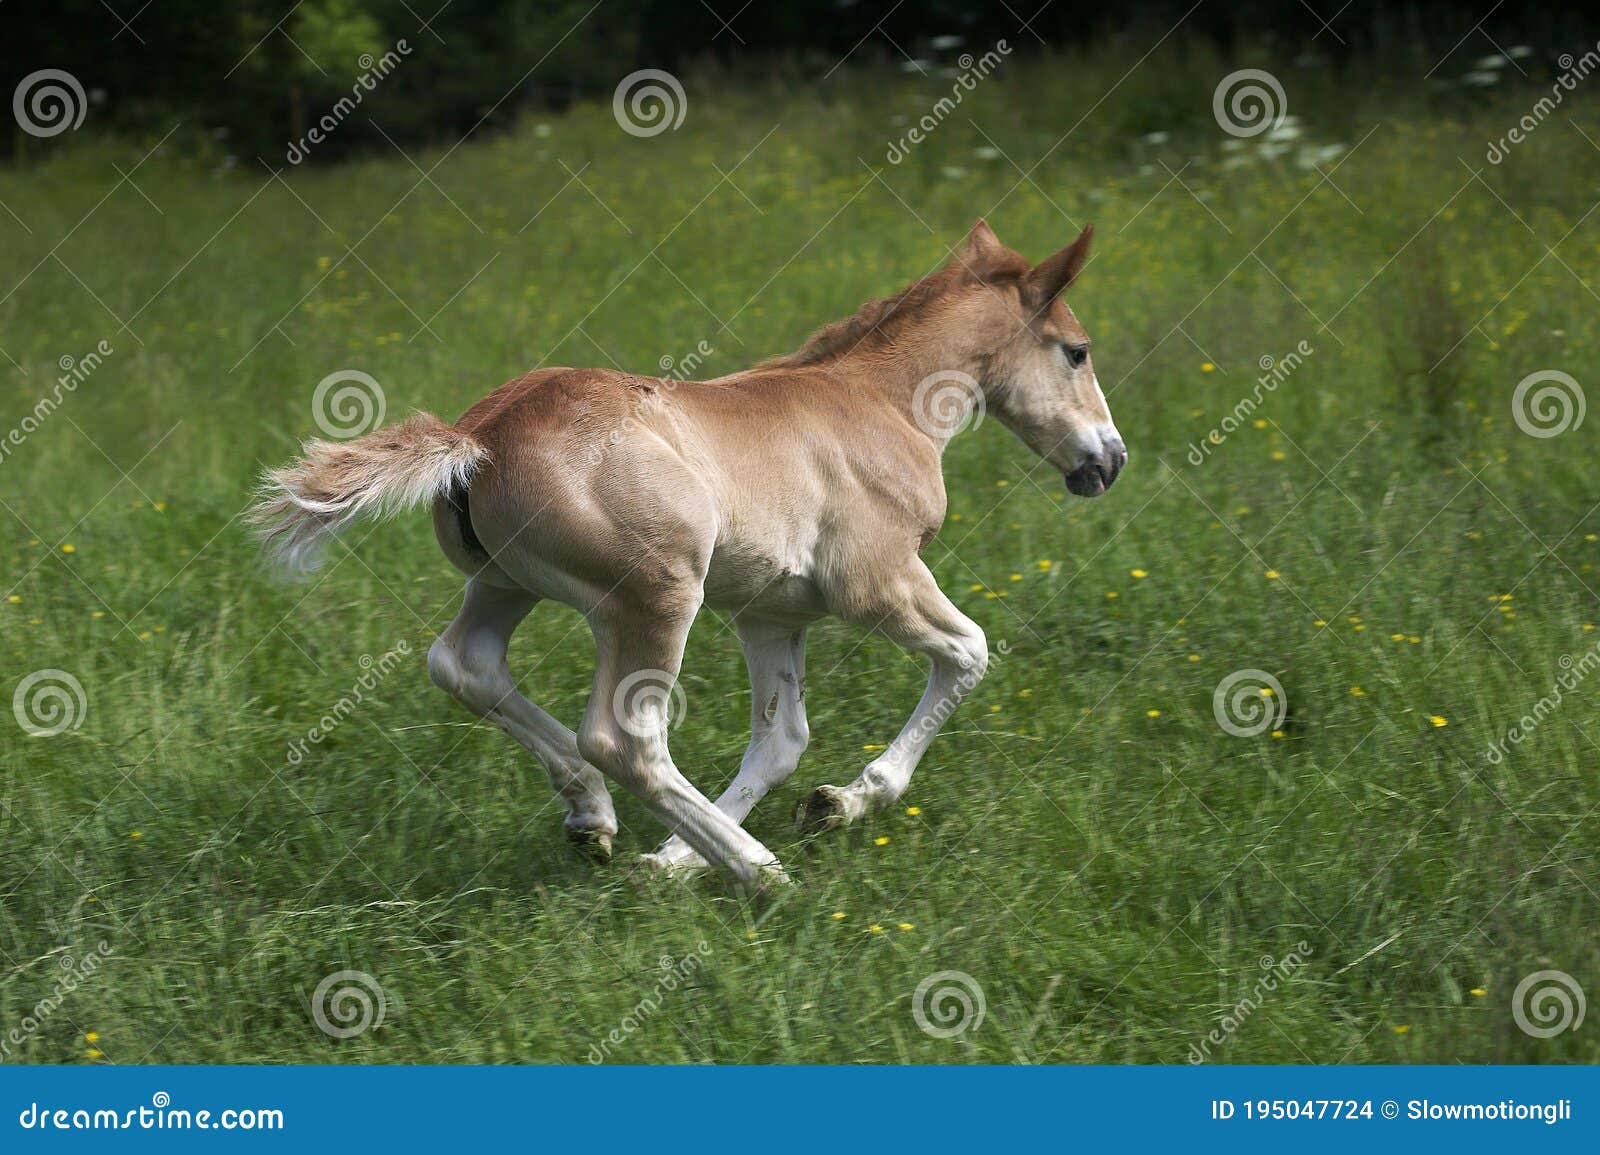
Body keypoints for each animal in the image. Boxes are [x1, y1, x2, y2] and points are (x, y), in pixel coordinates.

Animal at [251, 218, 1125, 888]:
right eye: (1076, 350)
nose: (1110, 460)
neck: (880, 402)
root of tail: (479, 437)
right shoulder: (877, 582)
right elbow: (969, 652)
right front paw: (843, 803)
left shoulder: (770, 615)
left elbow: (781, 740)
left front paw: (677, 859)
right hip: (657, 594)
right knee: (623, 738)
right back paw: (758, 870)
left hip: (506, 583)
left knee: (465, 664)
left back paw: (594, 817)